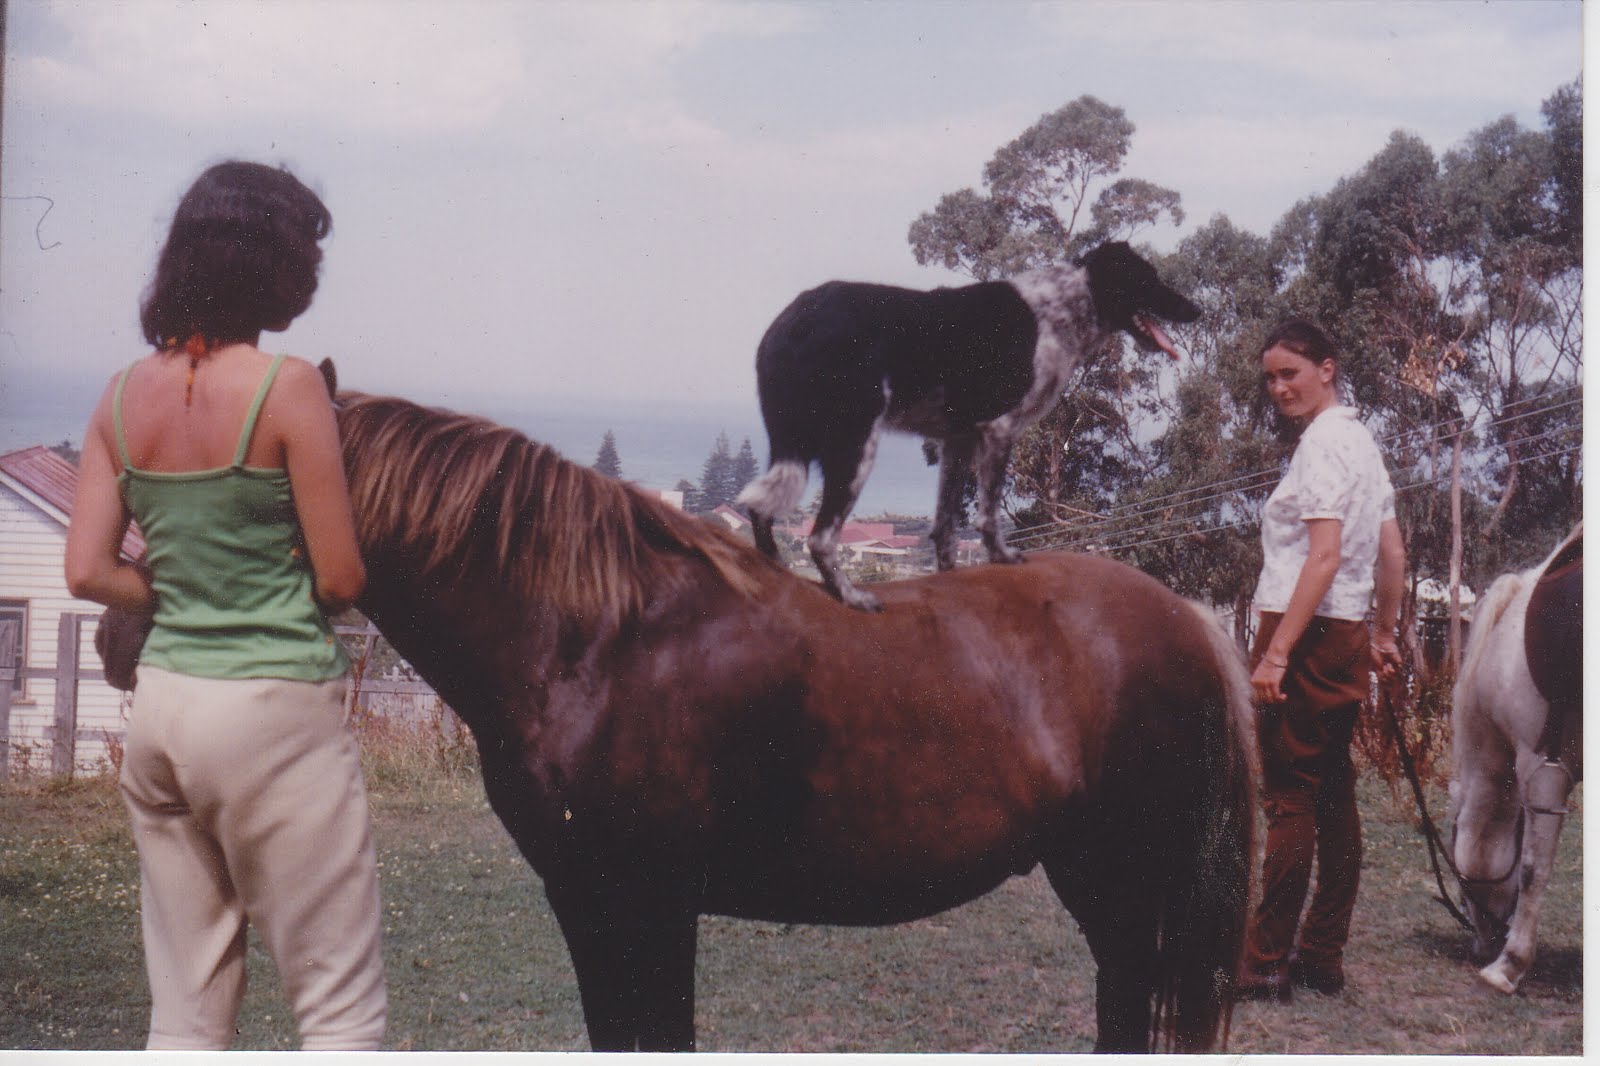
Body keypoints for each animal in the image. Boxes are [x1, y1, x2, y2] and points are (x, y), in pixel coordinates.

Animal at [101, 387, 1258, 1052]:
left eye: (239, 481)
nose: (117, 635)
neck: (596, 639)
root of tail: (1188, 626)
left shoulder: (646, 900)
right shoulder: (587, 899)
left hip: (1120, 885)